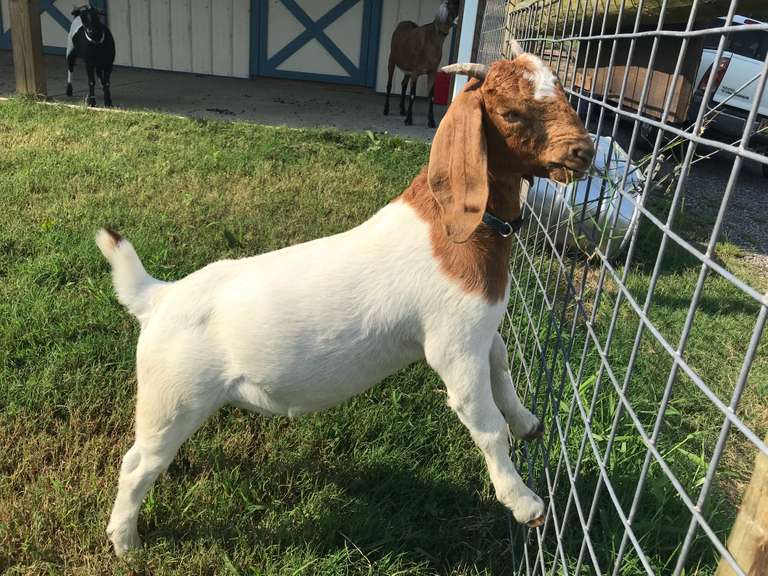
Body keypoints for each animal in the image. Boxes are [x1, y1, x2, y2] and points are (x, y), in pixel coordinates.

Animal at [97, 48, 595, 557]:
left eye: (561, 91)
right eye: (511, 113)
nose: (585, 151)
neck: (450, 227)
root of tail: (158, 296)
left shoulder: (481, 330)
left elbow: (503, 366)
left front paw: (529, 423)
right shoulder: (454, 346)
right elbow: (488, 425)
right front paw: (525, 503)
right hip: (172, 397)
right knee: (136, 464)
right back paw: (126, 541)